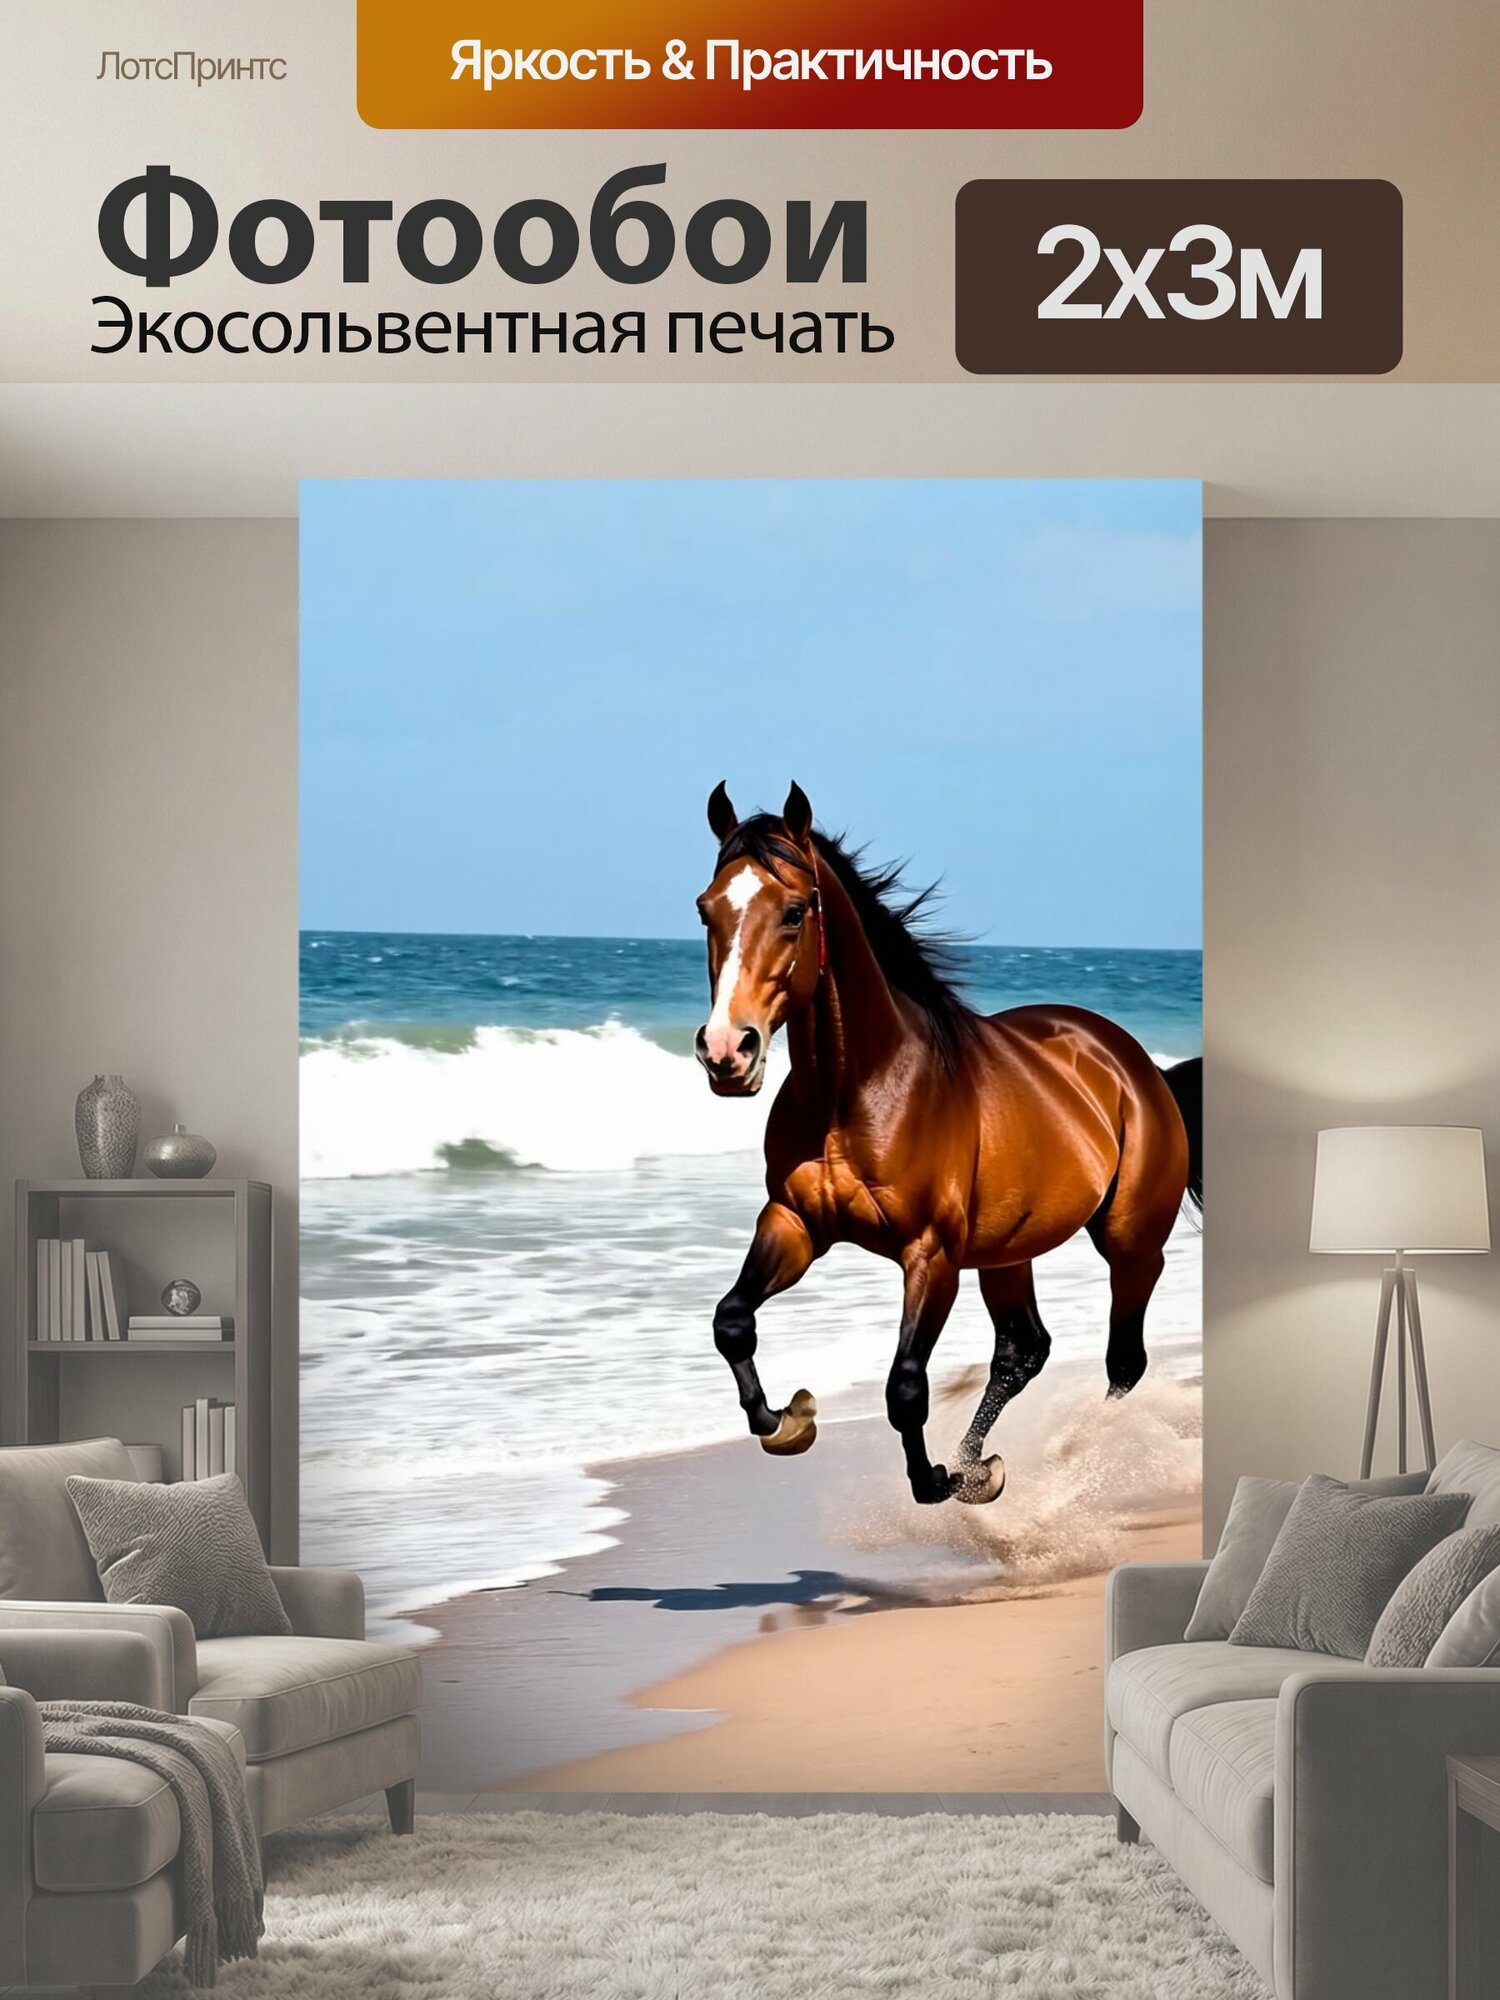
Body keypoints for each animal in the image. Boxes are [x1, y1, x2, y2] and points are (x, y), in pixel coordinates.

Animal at [693, 781, 1202, 1508]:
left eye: (794, 912)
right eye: (706, 909)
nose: (726, 1051)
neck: (857, 1091)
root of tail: (1139, 1067)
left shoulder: (930, 1254)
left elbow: (905, 1386)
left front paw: (938, 1480)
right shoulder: (794, 1223)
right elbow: (732, 1318)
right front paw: (790, 1420)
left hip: (1130, 1243)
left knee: (1122, 1360)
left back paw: (1077, 1461)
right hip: (1007, 1251)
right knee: (1023, 1350)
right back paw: (981, 1464)